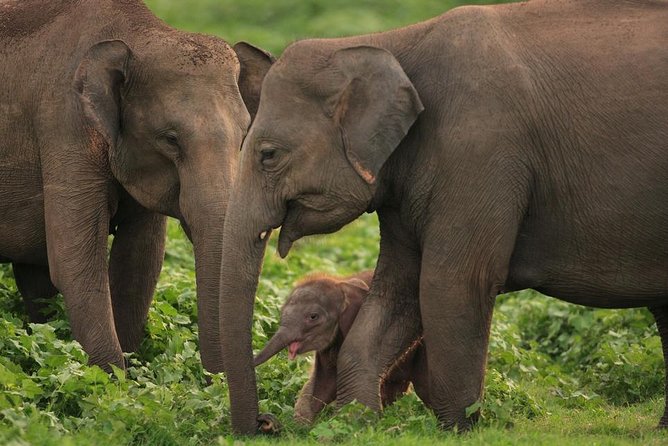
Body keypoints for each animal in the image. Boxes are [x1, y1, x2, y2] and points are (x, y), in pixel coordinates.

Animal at [0, 0, 273, 377]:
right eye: (170, 139)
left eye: (245, 134)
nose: (213, 379)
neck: (139, 34)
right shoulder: (64, 126)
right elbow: (75, 264)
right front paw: (112, 380)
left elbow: (140, 261)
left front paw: (131, 372)